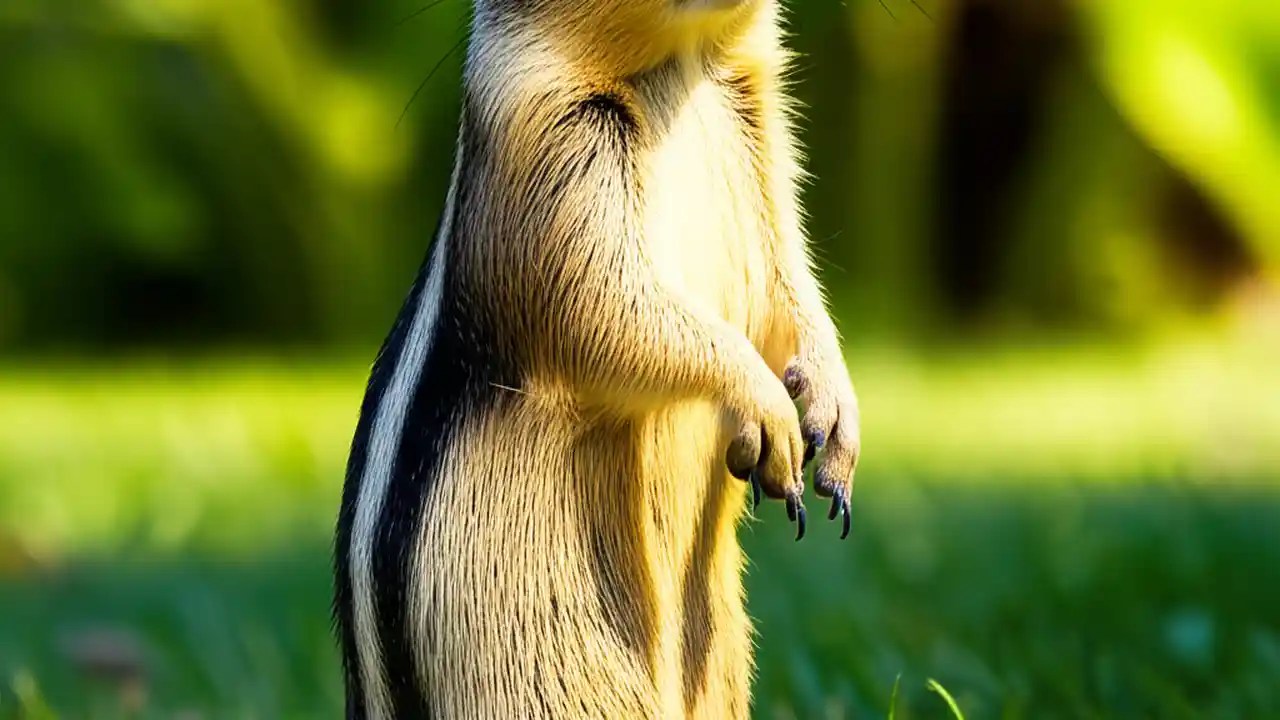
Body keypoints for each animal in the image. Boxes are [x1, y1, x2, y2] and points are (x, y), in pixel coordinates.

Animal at [333, 0, 861, 716]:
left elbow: (796, 296)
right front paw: (768, 408)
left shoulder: (767, 150)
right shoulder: (543, 156)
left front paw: (835, 415)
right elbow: (613, 312)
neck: (681, 65)